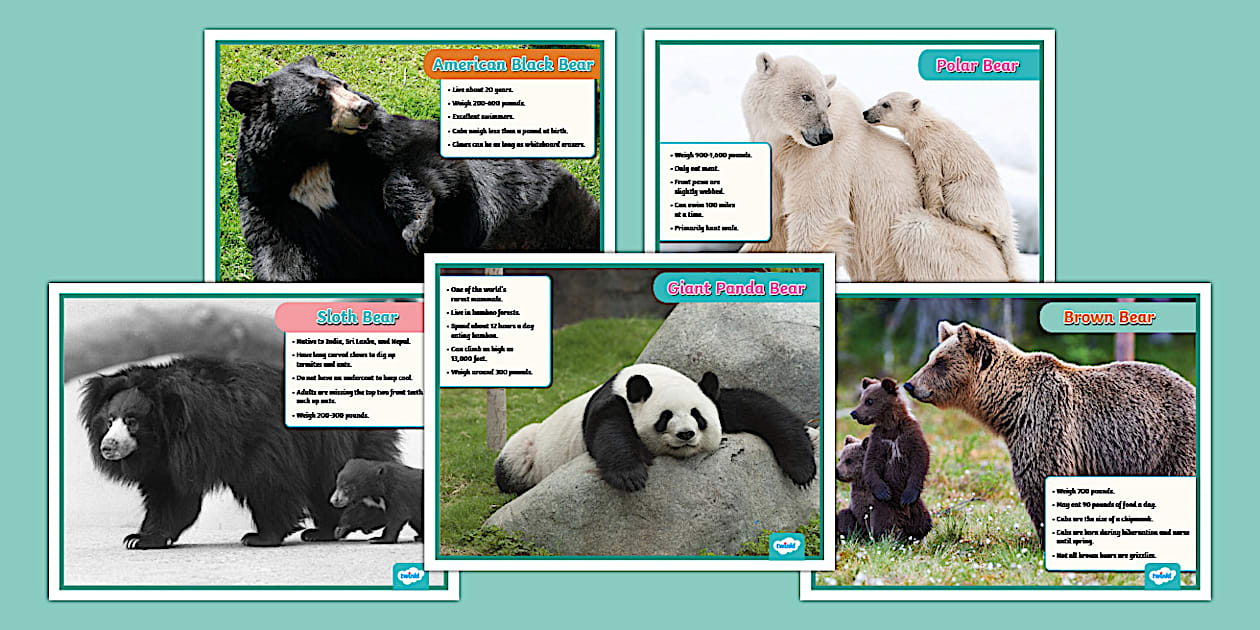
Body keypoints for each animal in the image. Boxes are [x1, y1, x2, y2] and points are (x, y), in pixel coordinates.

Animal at [80, 357, 400, 548]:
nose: (107, 446)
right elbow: (169, 496)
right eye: (109, 420)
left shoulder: (257, 434)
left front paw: (260, 537)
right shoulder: (168, 460)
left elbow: (268, 480)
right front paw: (140, 538)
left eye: (132, 421)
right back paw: (322, 532)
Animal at [225, 56, 600, 282]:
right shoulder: (268, 192)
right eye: (319, 94)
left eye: (341, 84)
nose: (363, 107)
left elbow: (424, 161)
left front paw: (416, 231)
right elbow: (279, 251)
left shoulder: (381, 143)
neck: (312, 156)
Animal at [863, 92, 1021, 281]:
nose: (865, 113)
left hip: (969, 195)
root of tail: (1006, 219)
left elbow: (931, 178)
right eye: (878, 101)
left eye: (886, 104)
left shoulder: (932, 149)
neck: (926, 125)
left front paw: (932, 211)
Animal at [904, 321, 1197, 543]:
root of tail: (1192, 387)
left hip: (1173, 443)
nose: (910, 384)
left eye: (940, 361)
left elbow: (1040, 476)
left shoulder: (1046, 421)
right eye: (932, 357)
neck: (1011, 406)